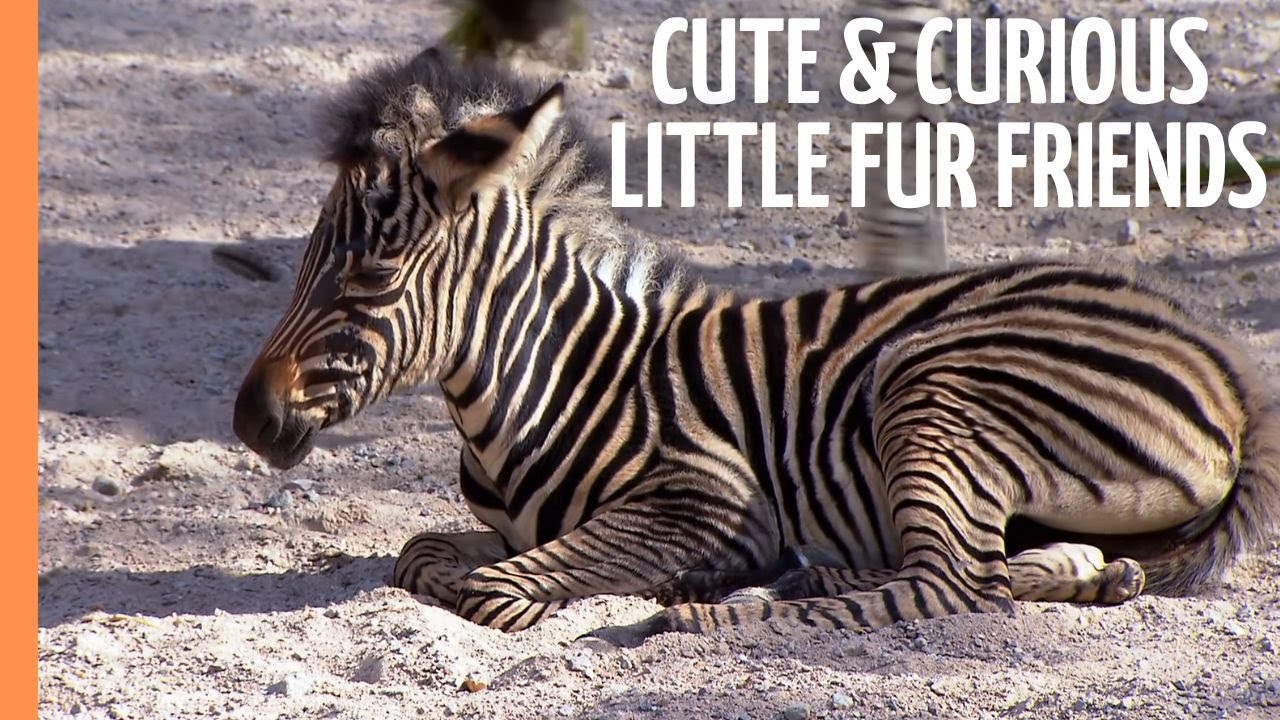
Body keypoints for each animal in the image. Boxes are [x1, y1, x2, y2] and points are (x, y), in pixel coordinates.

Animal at [232, 48, 1280, 645]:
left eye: (369, 278)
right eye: (303, 262)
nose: (249, 421)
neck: (544, 385)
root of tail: (1227, 369)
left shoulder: (714, 495)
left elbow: (491, 589)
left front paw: (655, 582)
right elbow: (418, 554)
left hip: (933, 381)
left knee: (952, 584)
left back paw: (722, 607)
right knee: (1007, 564)